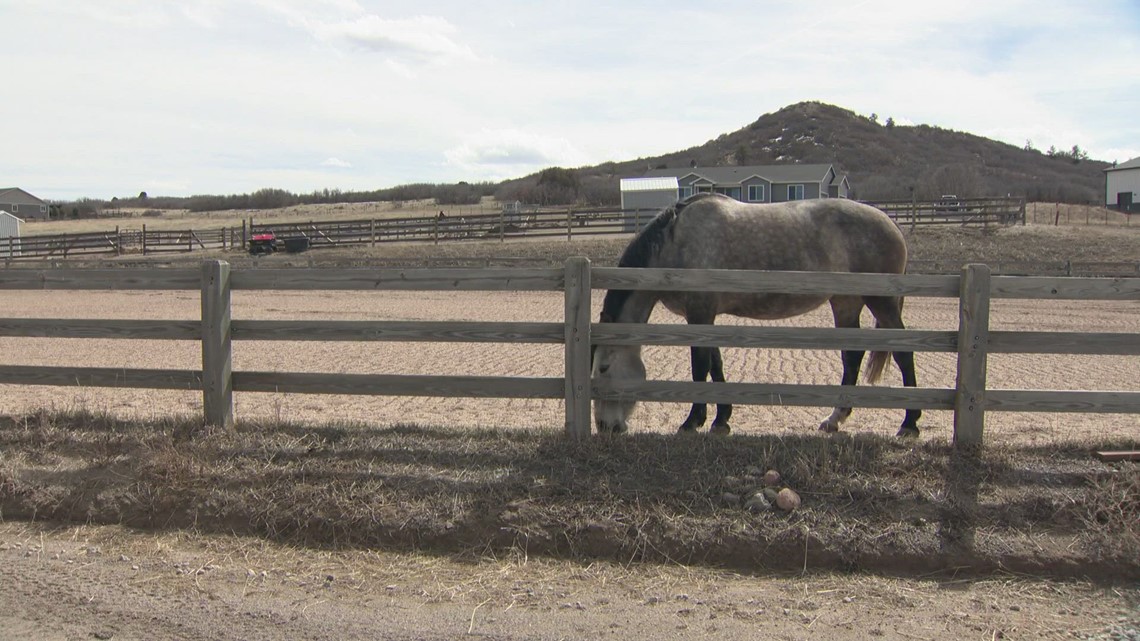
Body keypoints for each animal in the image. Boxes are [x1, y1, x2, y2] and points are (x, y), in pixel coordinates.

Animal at [591, 192, 921, 437]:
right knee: (851, 356)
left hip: (882, 302)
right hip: (846, 302)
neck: (675, 242)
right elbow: (716, 364)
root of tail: (891, 224)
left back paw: (909, 423)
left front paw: (692, 421)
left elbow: (700, 366)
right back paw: (834, 419)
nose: (605, 427)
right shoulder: (704, 316)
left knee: (903, 354)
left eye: (604, 367)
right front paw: (721, 420)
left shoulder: (700, 312)